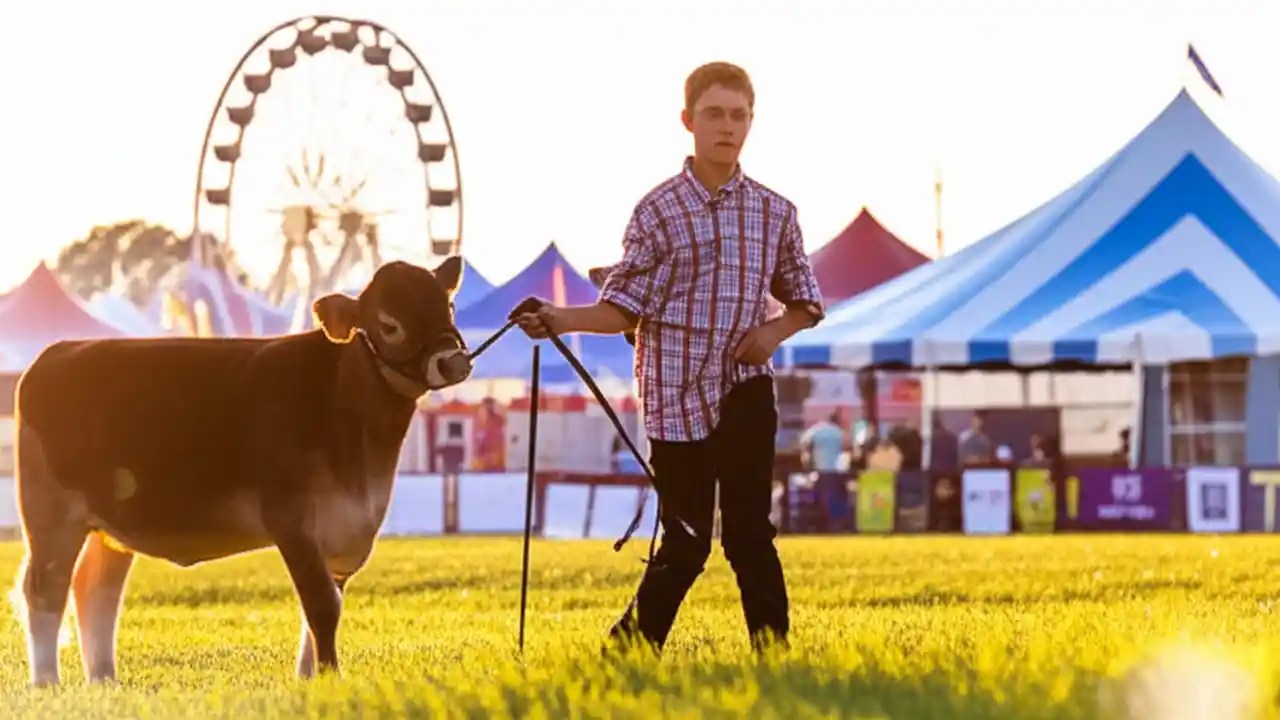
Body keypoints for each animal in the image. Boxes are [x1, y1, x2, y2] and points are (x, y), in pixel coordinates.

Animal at [12, 257, 472, 687]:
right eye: (389, 324)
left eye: (448, 305)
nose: (453, 362)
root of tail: (59, 351)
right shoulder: (292, 522)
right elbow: (322, 605)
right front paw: (328, 675)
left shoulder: (346, 530)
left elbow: (329, 605)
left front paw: (310, 676)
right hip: (51, 512)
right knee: (45, 590)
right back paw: (47, 680)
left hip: (109, 524)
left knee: (95, 589)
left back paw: (105, 678)